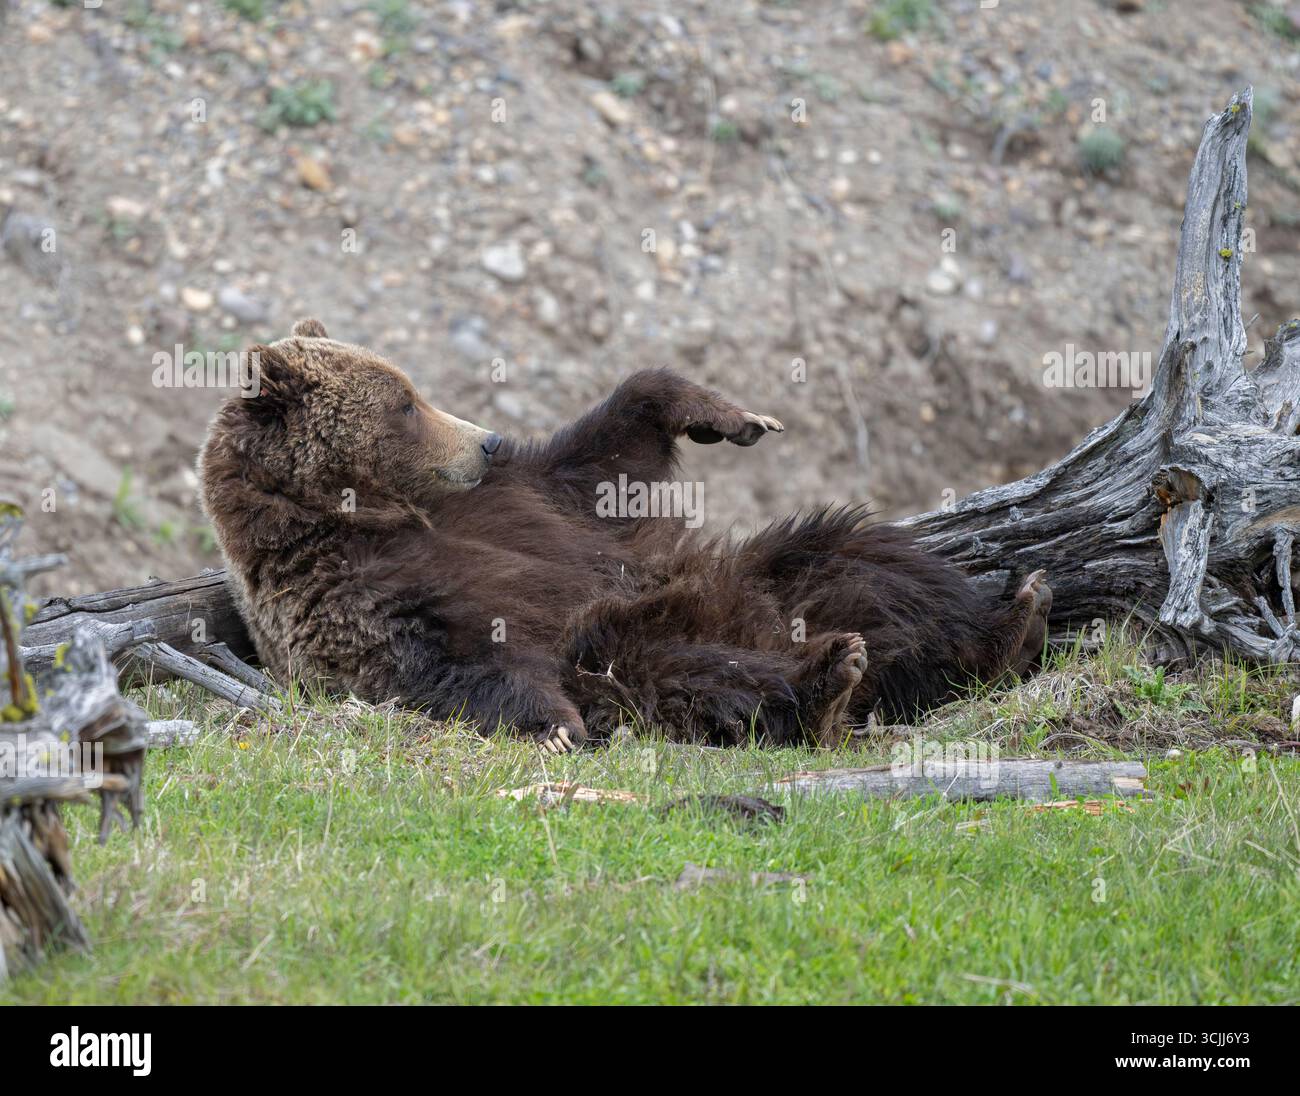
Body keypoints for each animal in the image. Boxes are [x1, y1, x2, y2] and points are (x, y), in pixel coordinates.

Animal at [198, 319, 1052, 753]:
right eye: (403, 402)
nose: (486, 440)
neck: (369, 515)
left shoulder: (524, 503)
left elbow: (606, 460)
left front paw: (735, 415)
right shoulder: (354, 597)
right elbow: (451, 662)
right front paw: (558, 727)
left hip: (781, 574)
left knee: (865, 559)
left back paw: (1009, 619)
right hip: (643, 640)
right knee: (672, 664)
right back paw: (828, 679)